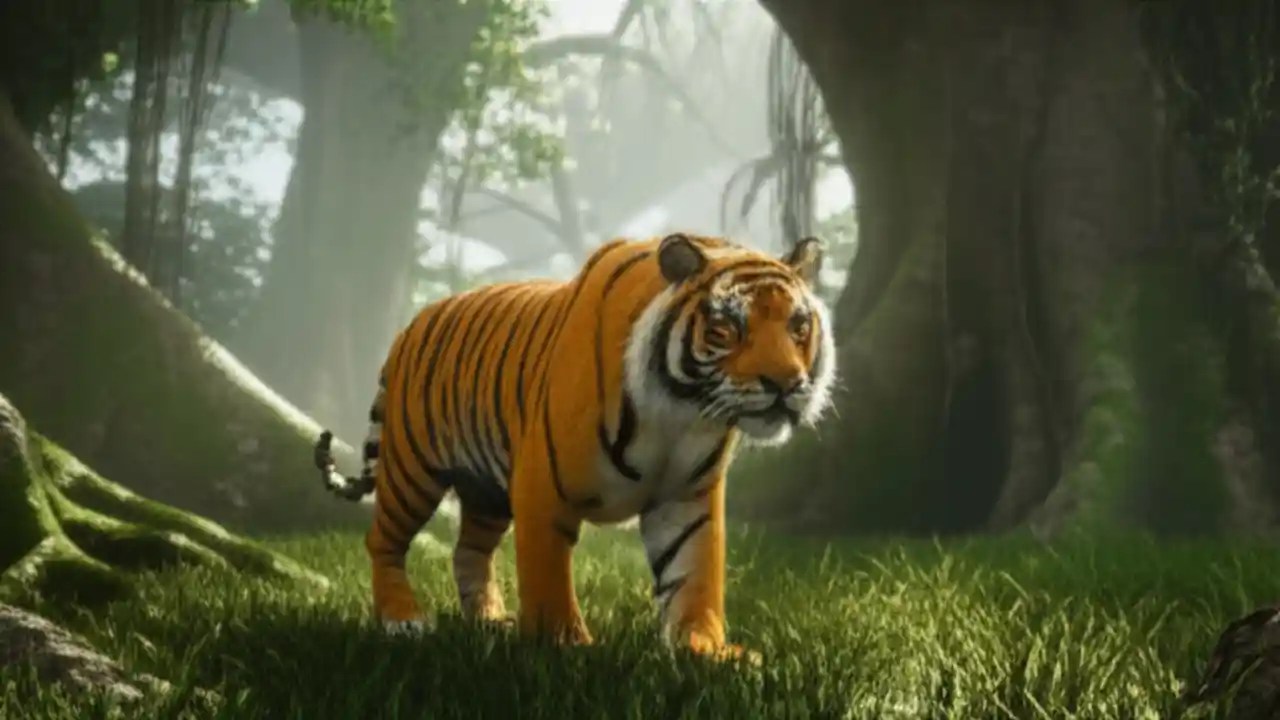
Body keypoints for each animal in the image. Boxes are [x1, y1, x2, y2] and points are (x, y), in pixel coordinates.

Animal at [312, 232, 836, 661]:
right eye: (726, 329)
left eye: (798, 327)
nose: (785, 384)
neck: (679, 413)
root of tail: (412, 324)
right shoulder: (542, 486)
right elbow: (547, 575)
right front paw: (563, 645)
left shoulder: (686, 498)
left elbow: (695, 574)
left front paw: (706, 649)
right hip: (413, 470)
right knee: (383, 540)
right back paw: (402, 619)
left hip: (485, 490)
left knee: (469, 551)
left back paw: (490, 621)